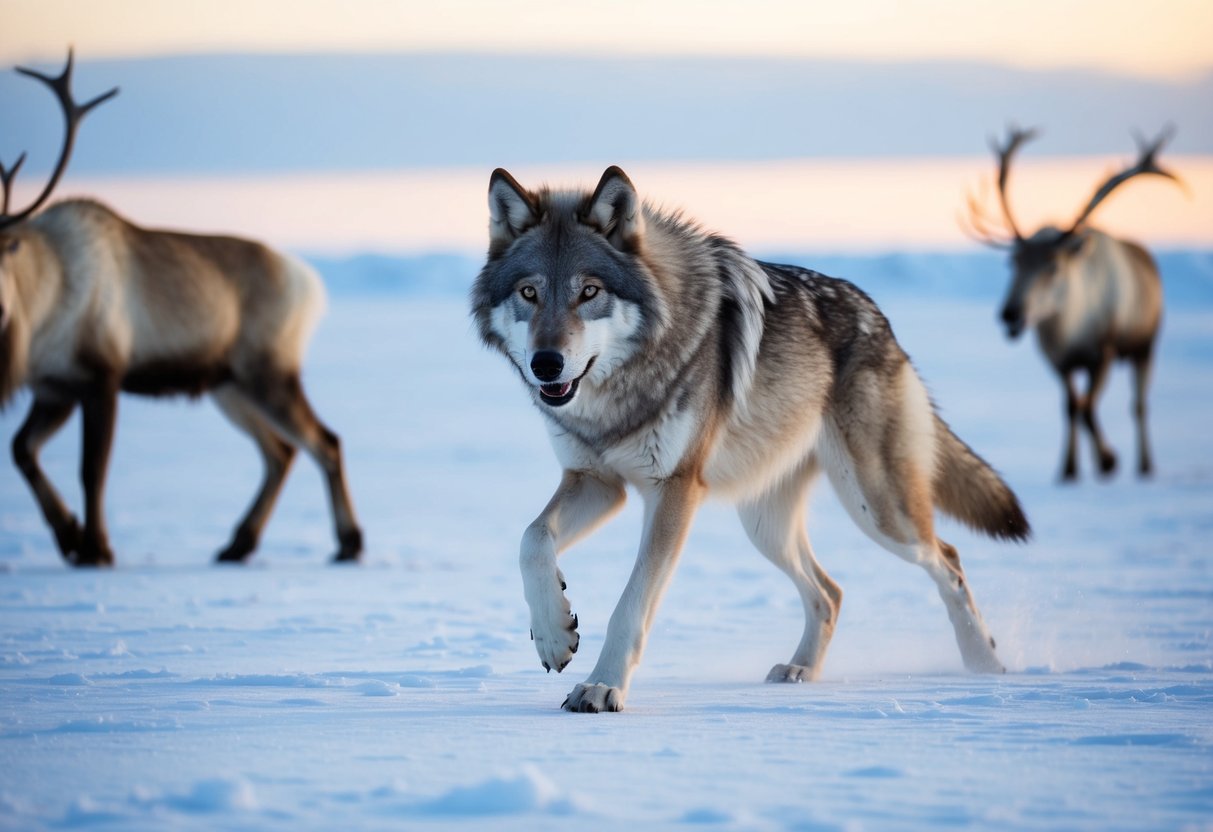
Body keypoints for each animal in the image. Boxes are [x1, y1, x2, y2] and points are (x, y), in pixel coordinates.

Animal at [472, 166, 1030, 712]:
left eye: (588, 292)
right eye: (529, 293)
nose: (546, 364)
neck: (620, 392)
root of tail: (883, 321)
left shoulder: (674, 491)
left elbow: (631, 604)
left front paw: (602, 687)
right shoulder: (597, 481)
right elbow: (531, 539)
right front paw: (553, 634)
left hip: (879, 511)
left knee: (949, 560)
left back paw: (986, 664)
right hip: (765, 525)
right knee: (831, 593)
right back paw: (800, 671)